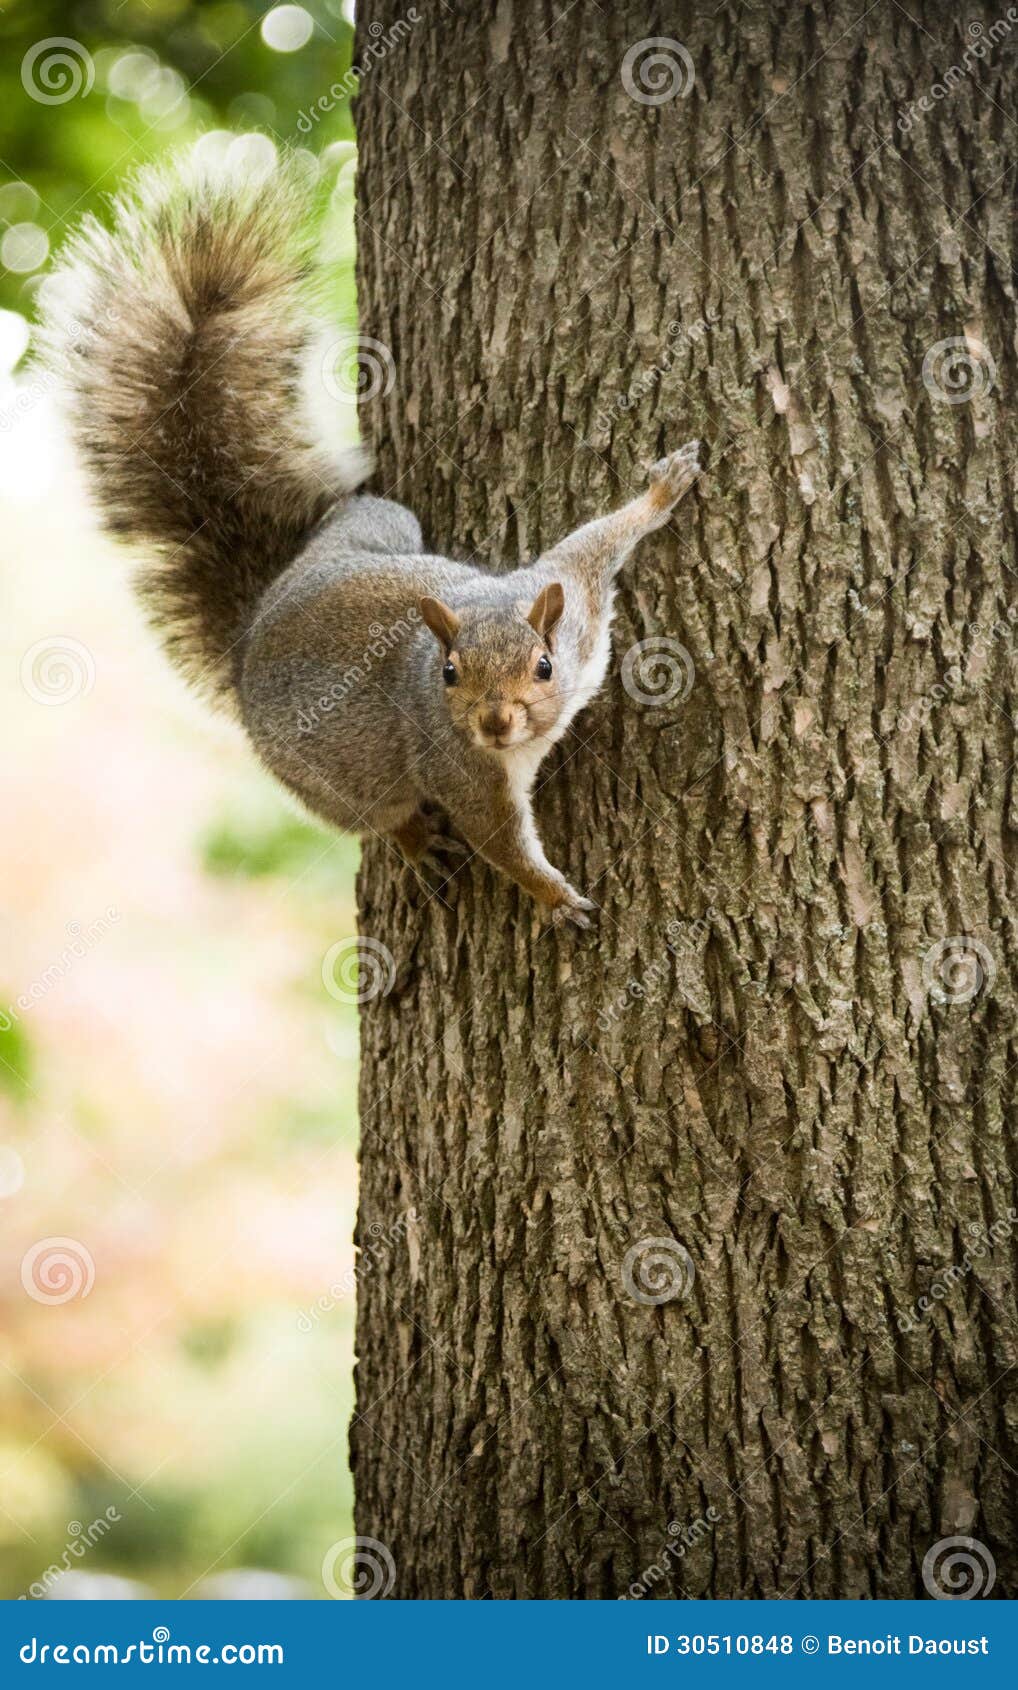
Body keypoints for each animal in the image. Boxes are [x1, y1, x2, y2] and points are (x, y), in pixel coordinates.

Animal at [39, 155, 701, 928]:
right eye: (448, 674)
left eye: (543, 666)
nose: (493, 723)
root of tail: (252, 634)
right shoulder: (461, 771)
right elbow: (499, 843)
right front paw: (556, 898)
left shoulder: (576, 594)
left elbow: (598, 538)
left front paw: (662, 492)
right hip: (334, 782)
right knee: (380, 815)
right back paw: (416, 841)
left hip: (384, 522)